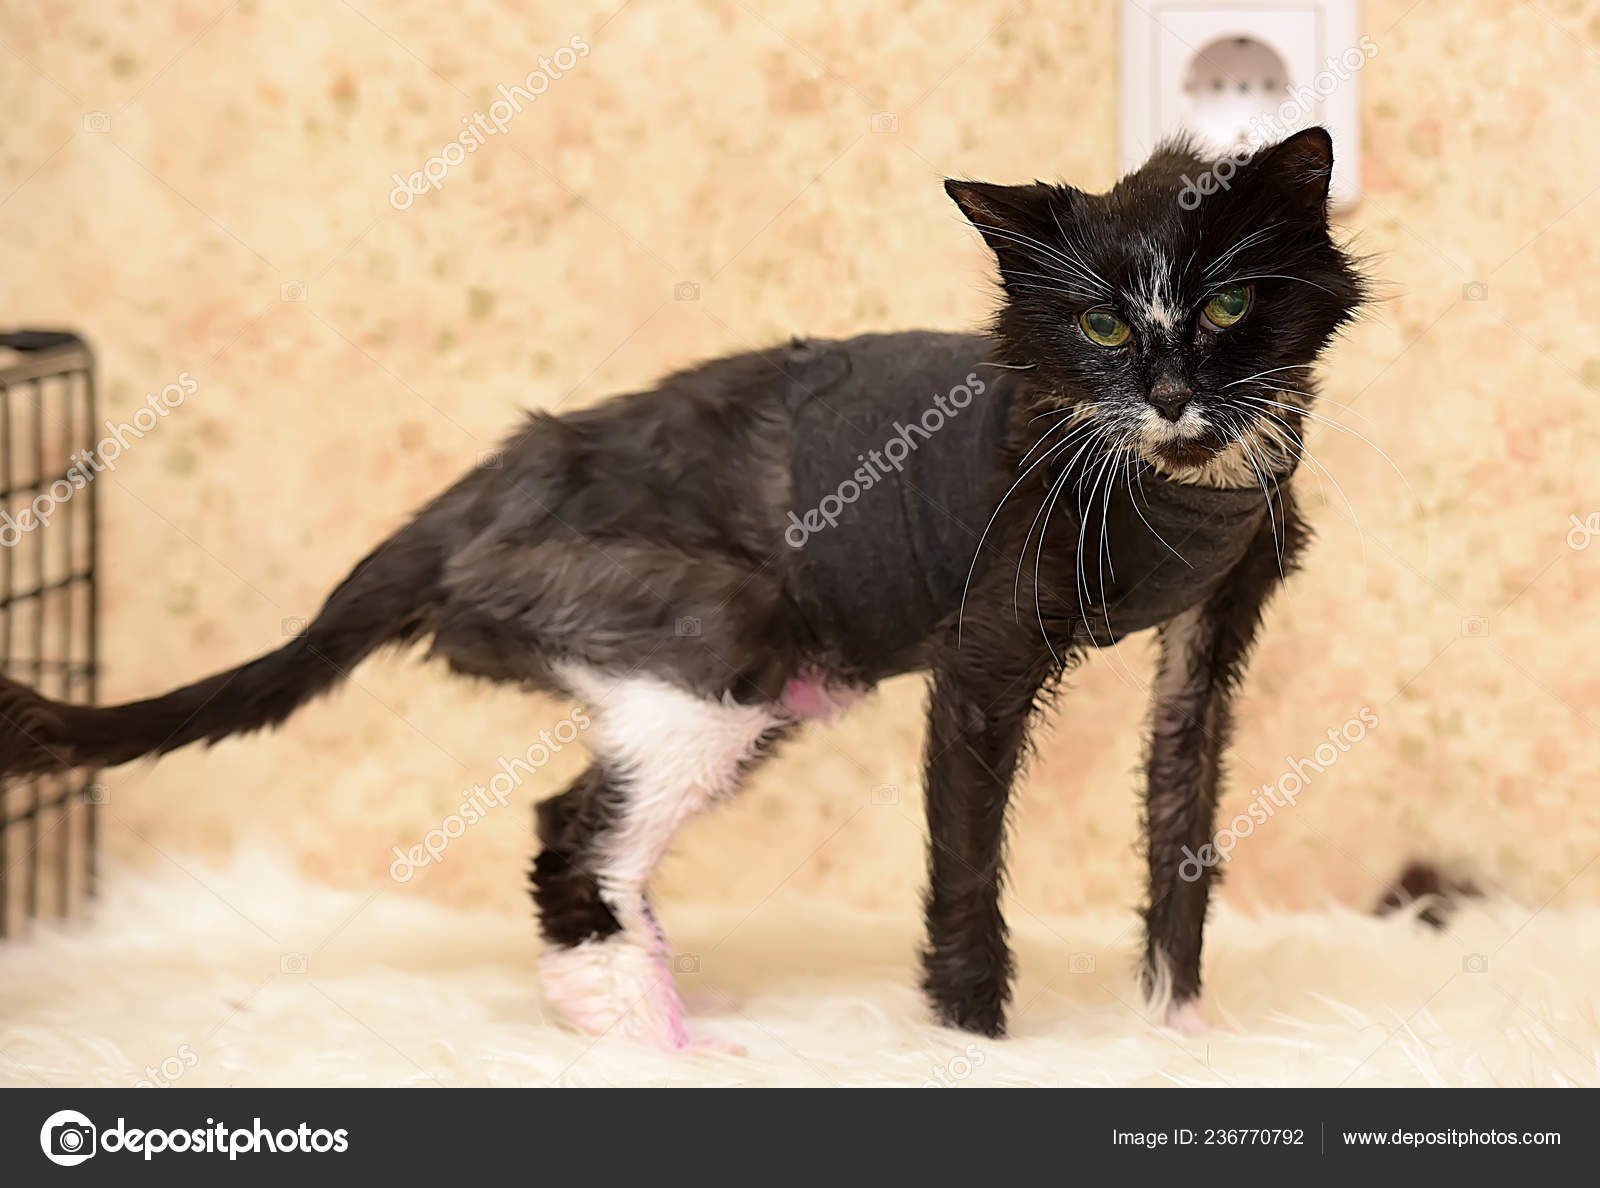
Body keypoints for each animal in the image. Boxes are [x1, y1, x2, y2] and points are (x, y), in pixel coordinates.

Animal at [0, 123, 1363, 1050]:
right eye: (1097, 327)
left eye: (1229, 306)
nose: (1170, 395)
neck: (1175, 478)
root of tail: (472, 497)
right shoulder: (979, 664)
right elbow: (968, 862)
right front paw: (972, 1045)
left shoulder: (1210, 643)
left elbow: (1182, 826)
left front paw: (1173, 1035)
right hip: (715, 624)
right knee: (568, 839)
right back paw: (648, 1042)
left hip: (765, 680)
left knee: (595, 832)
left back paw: (648, 1007)